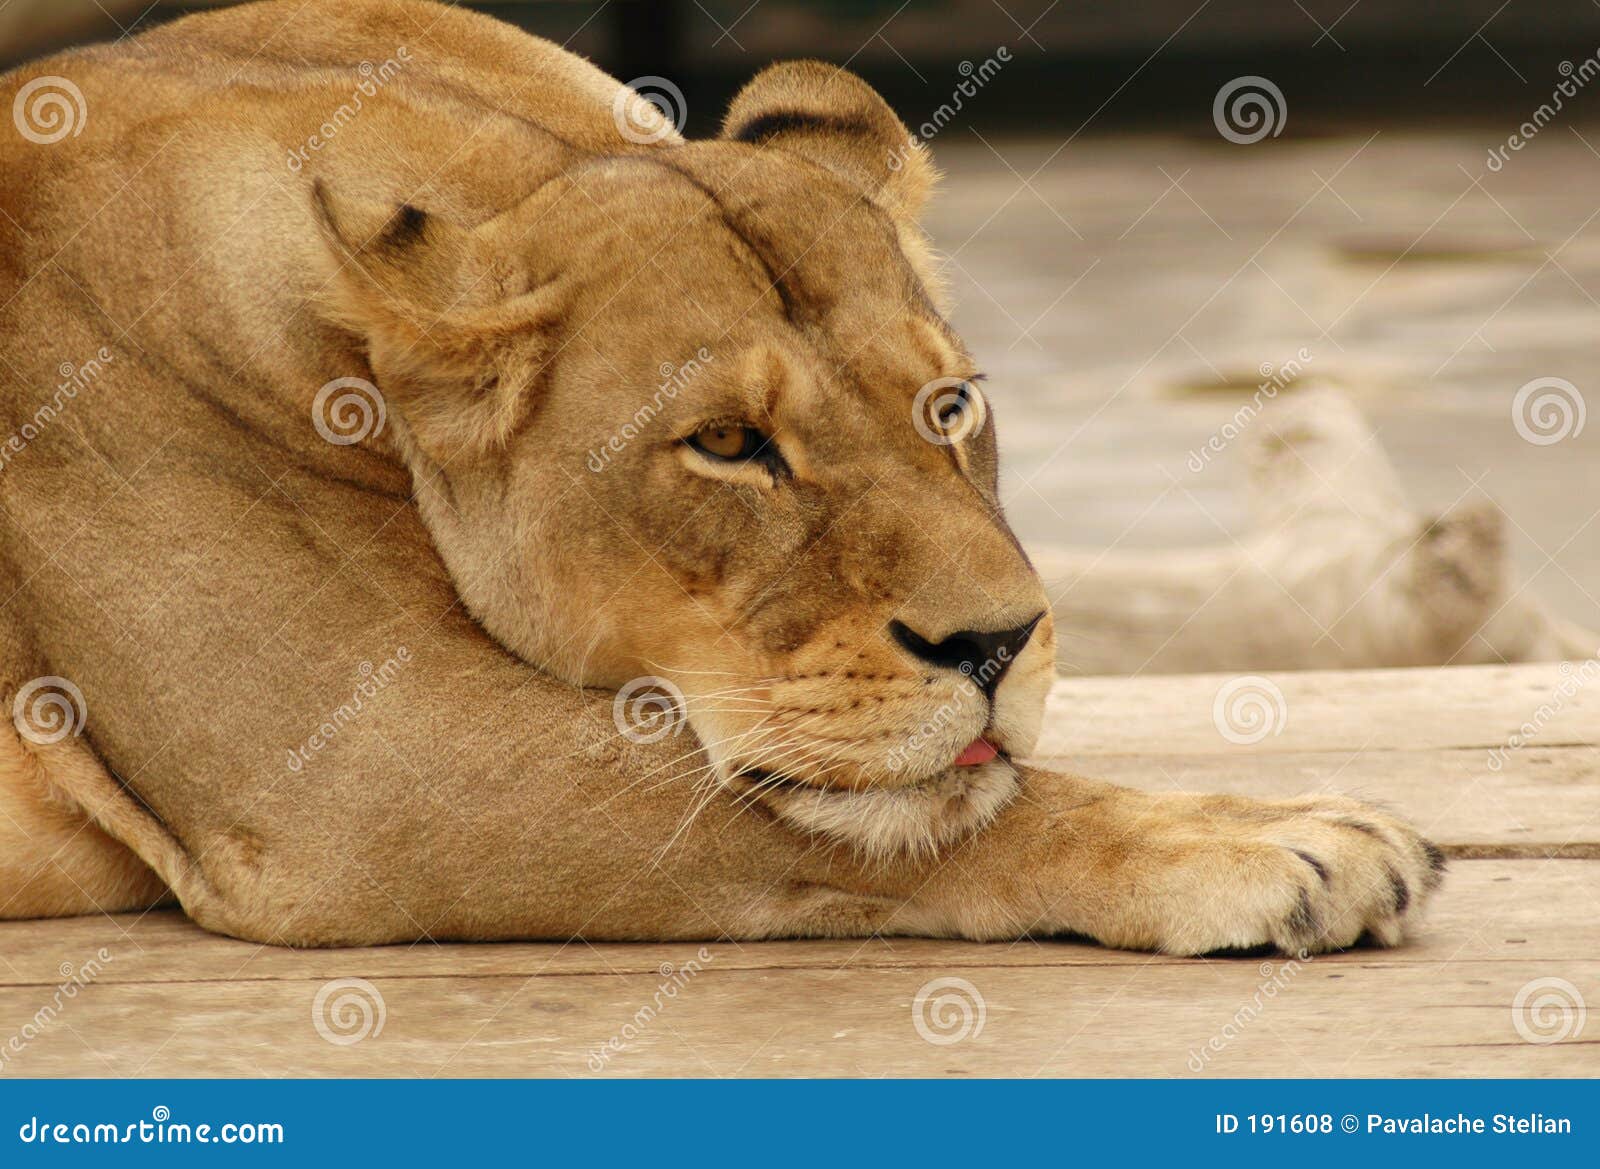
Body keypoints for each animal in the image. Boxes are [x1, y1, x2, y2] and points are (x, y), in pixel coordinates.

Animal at [0, 0, 1441, 954]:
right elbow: (915, 816)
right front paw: (1273, 840)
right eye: (732, 445)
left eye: (950, 404)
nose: (995, 645)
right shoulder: (359, 763)